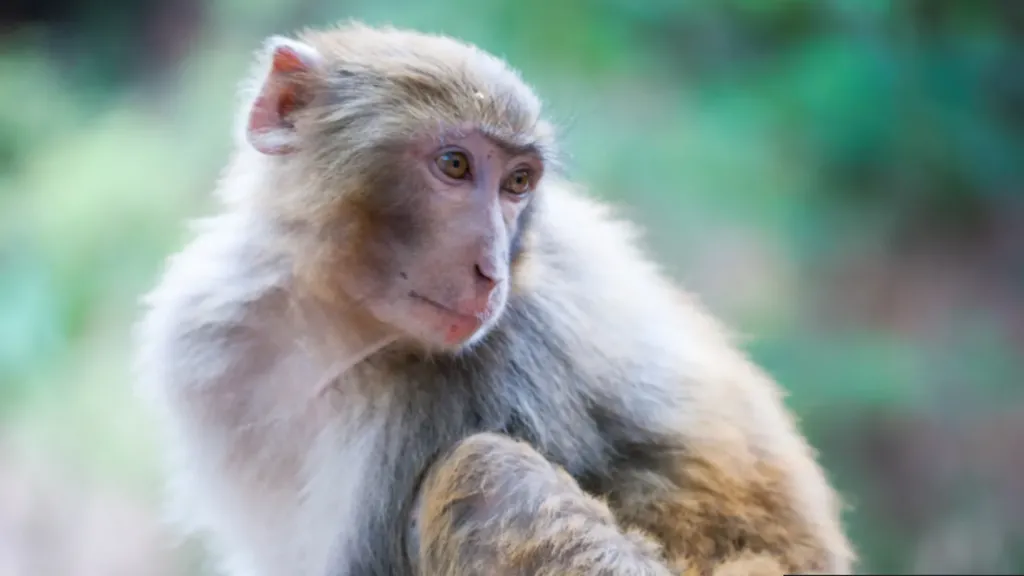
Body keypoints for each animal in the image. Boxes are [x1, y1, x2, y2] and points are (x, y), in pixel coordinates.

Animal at [134, 21, 855, 576]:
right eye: (454, 166)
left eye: (517, 183)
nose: (491, 270)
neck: (333, 323)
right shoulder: (206, 340)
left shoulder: (478, 381)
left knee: (489, 478)